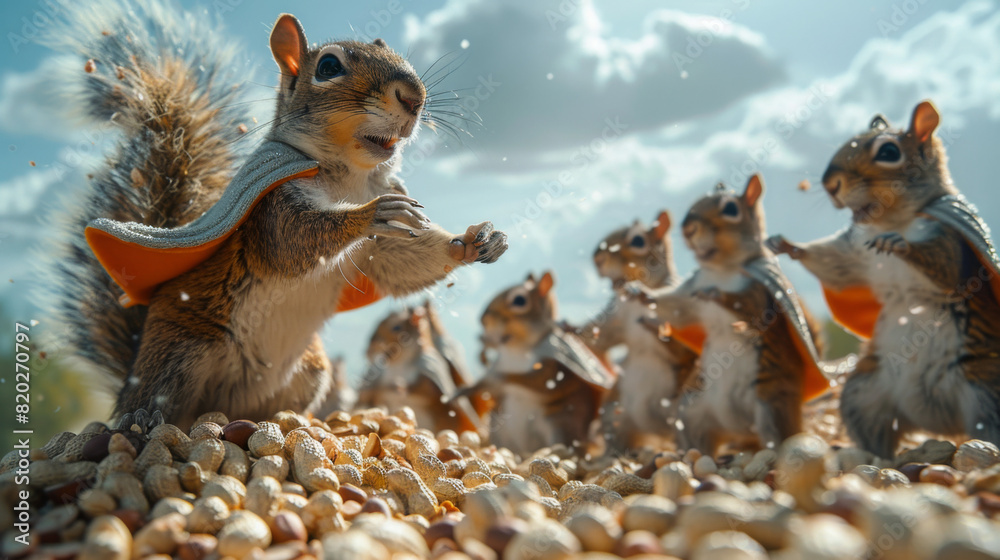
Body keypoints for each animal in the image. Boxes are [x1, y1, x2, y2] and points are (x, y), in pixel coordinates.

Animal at [356, 301, 482, 434]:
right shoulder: (381, 378)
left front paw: (400, 386)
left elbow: (426, 392)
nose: (367, 351)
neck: (398, 365)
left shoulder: (428, 370)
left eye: (396, 328)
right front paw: (366, 391)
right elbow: (375, 393)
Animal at [464, 272, 616, 456]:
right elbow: (485, 383)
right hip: (498, 425)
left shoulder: (552, 364)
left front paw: (502, 377)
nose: (483, 319)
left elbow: (539, 381)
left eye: (519, 300)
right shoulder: (498, 362)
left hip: (558, 426)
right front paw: (465, 390)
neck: (518, 348)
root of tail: (526, 450)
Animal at [578, 211, 699, 453]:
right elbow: (597, 340)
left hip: (679, 413)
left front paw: (652, 321)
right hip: (613, 410)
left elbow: (682, 347)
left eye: (637, 241)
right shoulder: (613, 319)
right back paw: (614, 453)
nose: (597, 258)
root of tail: (655, 433)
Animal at [637, 174, 828, 454]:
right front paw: (640, 294)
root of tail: (741, 431)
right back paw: (690, 456)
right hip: (690, 410)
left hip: (771, 405)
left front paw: (716, 294)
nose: (687, 229)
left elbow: (748, 308)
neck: (721, 270)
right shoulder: (688, 295)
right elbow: (675, 308)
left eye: (730, 209)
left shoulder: (759, 293)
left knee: (777, 437)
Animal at [767, 100, 1000, 458]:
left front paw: (898, 245)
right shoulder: (853, 255)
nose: (830, 184)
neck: (894, 220)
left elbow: (945, 269)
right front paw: (788, 245)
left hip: (985, 392)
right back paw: (871, 456)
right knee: (876, 430)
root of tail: (939, 425)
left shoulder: (951, 241)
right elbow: (831, 264)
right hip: (862, 394)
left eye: (889, 152)